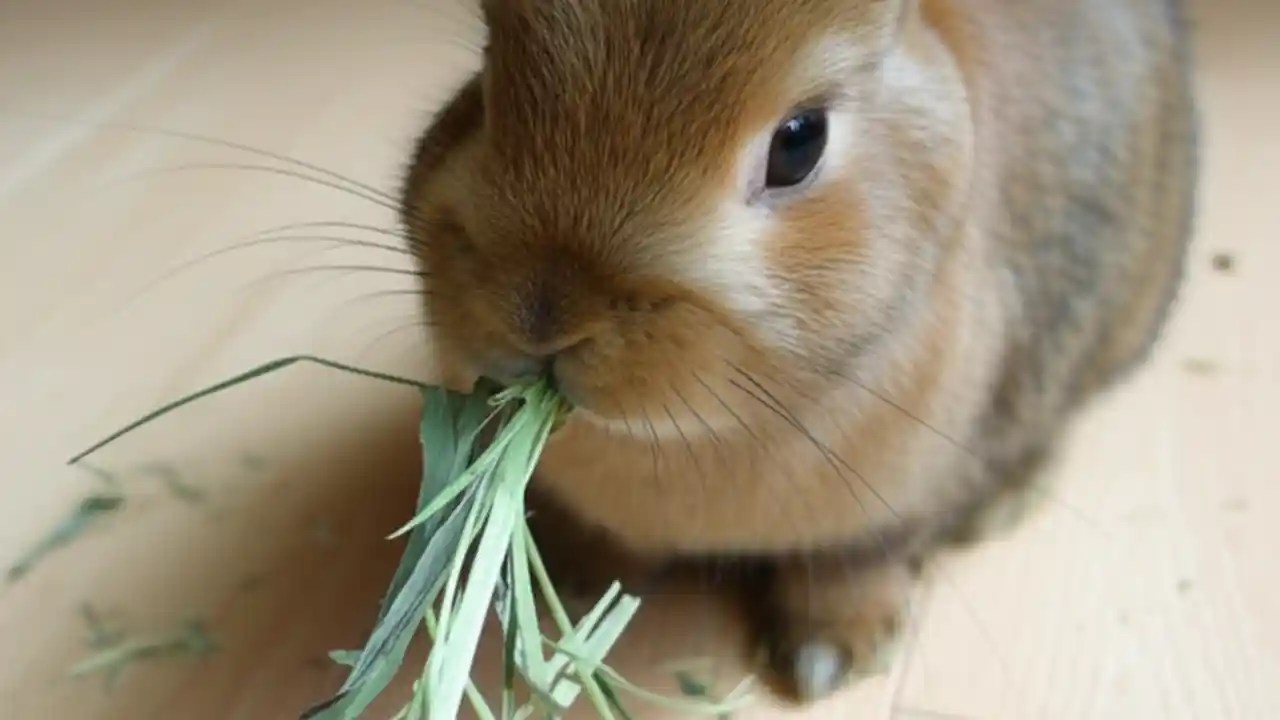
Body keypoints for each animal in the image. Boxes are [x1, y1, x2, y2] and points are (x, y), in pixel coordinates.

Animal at [397, 0, 1198, 702]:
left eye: (799, 142)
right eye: (488, 74)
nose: (543, 317)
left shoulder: (894, 506)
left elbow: (857, 562)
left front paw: (827, 659)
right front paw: (564, 579)